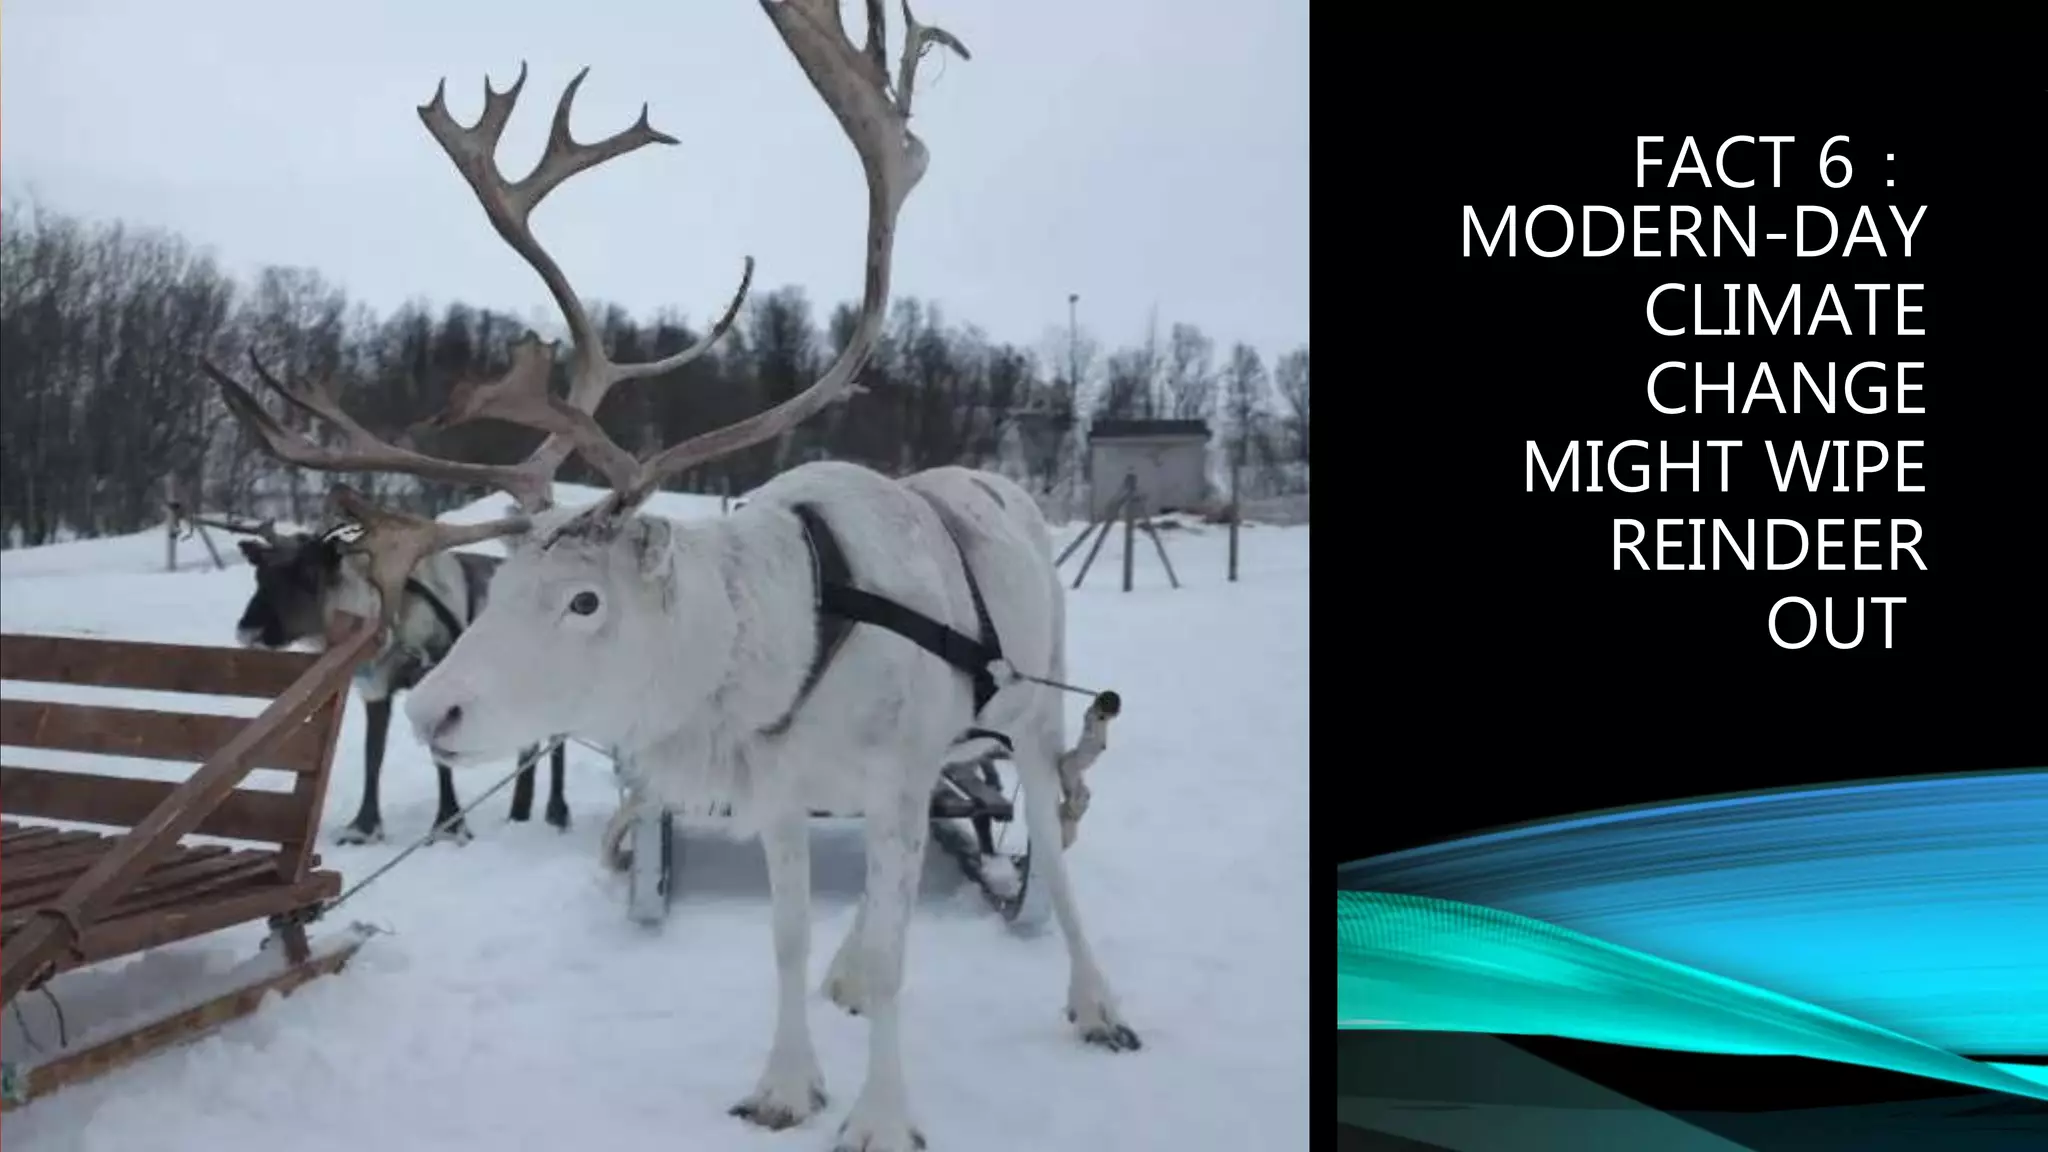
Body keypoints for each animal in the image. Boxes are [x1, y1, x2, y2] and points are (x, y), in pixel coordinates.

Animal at [201, 4, 1138, 1149]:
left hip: (1034, 712)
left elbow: (908, 946)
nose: (431, 711)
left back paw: (1095, 1003)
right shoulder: (789, 796)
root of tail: (996, 482)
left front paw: (880, 1117)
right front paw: (784, 1084)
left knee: (1047, 838)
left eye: (584, 599)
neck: (793, 651)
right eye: (500, 585)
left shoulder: (895, 783)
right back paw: (855, 973)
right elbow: (788, 940)